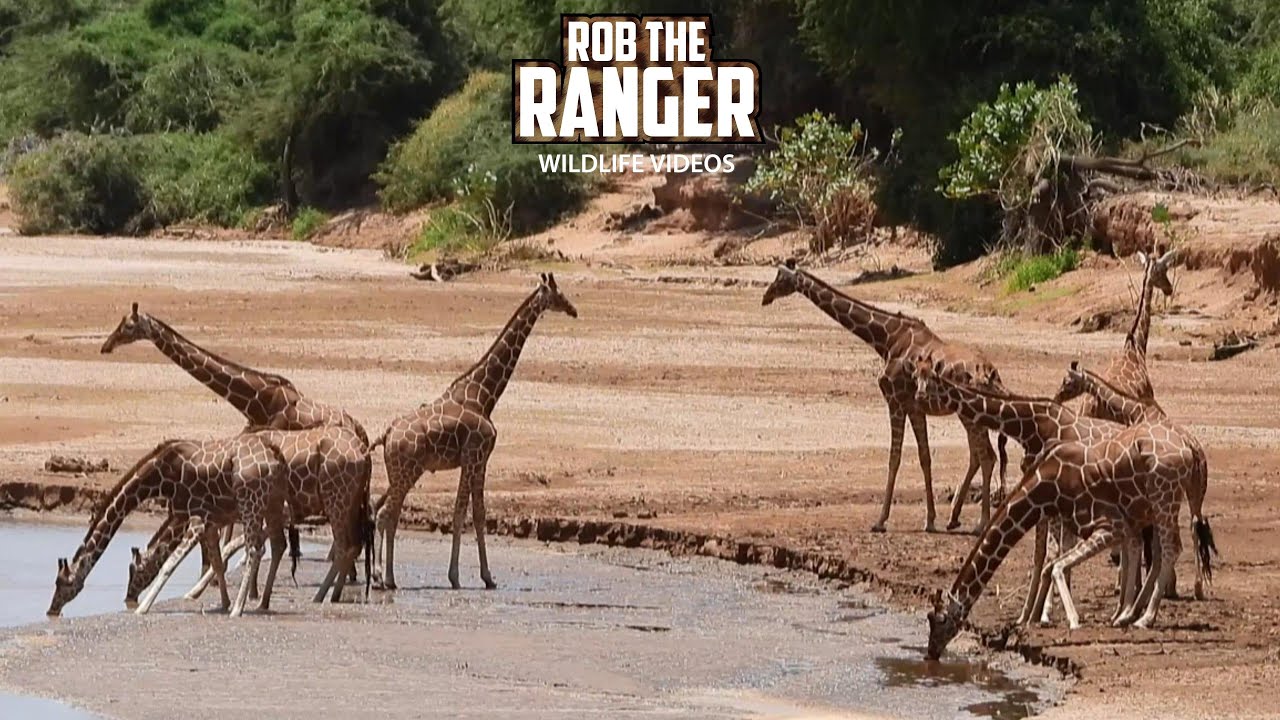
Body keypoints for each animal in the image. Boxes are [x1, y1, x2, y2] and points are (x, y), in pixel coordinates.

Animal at [48, 433, 291, 618]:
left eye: (62, 583)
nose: (52, 609)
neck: (158, 475)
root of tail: (275, 457)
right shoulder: (208, 519)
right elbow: (217, 561)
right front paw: (223, 603)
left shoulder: (193, 517)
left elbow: (169, 564)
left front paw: (143, 608)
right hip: (273, 504)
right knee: (277, 544)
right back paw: (261, 603)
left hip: (251, 504)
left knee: (255, 549)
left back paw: (239, 609)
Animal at [371, 273, 578, 590]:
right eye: (558, 294)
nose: (573, 309)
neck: (483, 395)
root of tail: (387, 433)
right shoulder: (477, 456)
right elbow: (469, 513)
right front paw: (475, 576)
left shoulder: (473, 460)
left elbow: (468, 514)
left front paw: (468, 575)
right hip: (408, 471)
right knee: (385, 514)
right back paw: (385, 576)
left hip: (398, 473)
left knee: (382, 510)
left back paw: (383, 576)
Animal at [762, 259, 1009, 533]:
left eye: (781, 277)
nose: (766, 296)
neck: (886, 339)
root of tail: (991, 372)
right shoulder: (914, 407)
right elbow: (924, 458)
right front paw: (930, 520)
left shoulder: (895, 401)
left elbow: (894, 458)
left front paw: (880, 520)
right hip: (969, 414)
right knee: (981, 455)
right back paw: (958, 518)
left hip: (970, 415)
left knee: (987, 456)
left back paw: (981, 523)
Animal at [1055, 361, 1215, 600]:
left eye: (1068, 381)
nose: (1057, 396)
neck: (1137, 410)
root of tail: (1195, 450)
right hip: (1196, 488)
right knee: (1196, 525)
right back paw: (1197, 588)